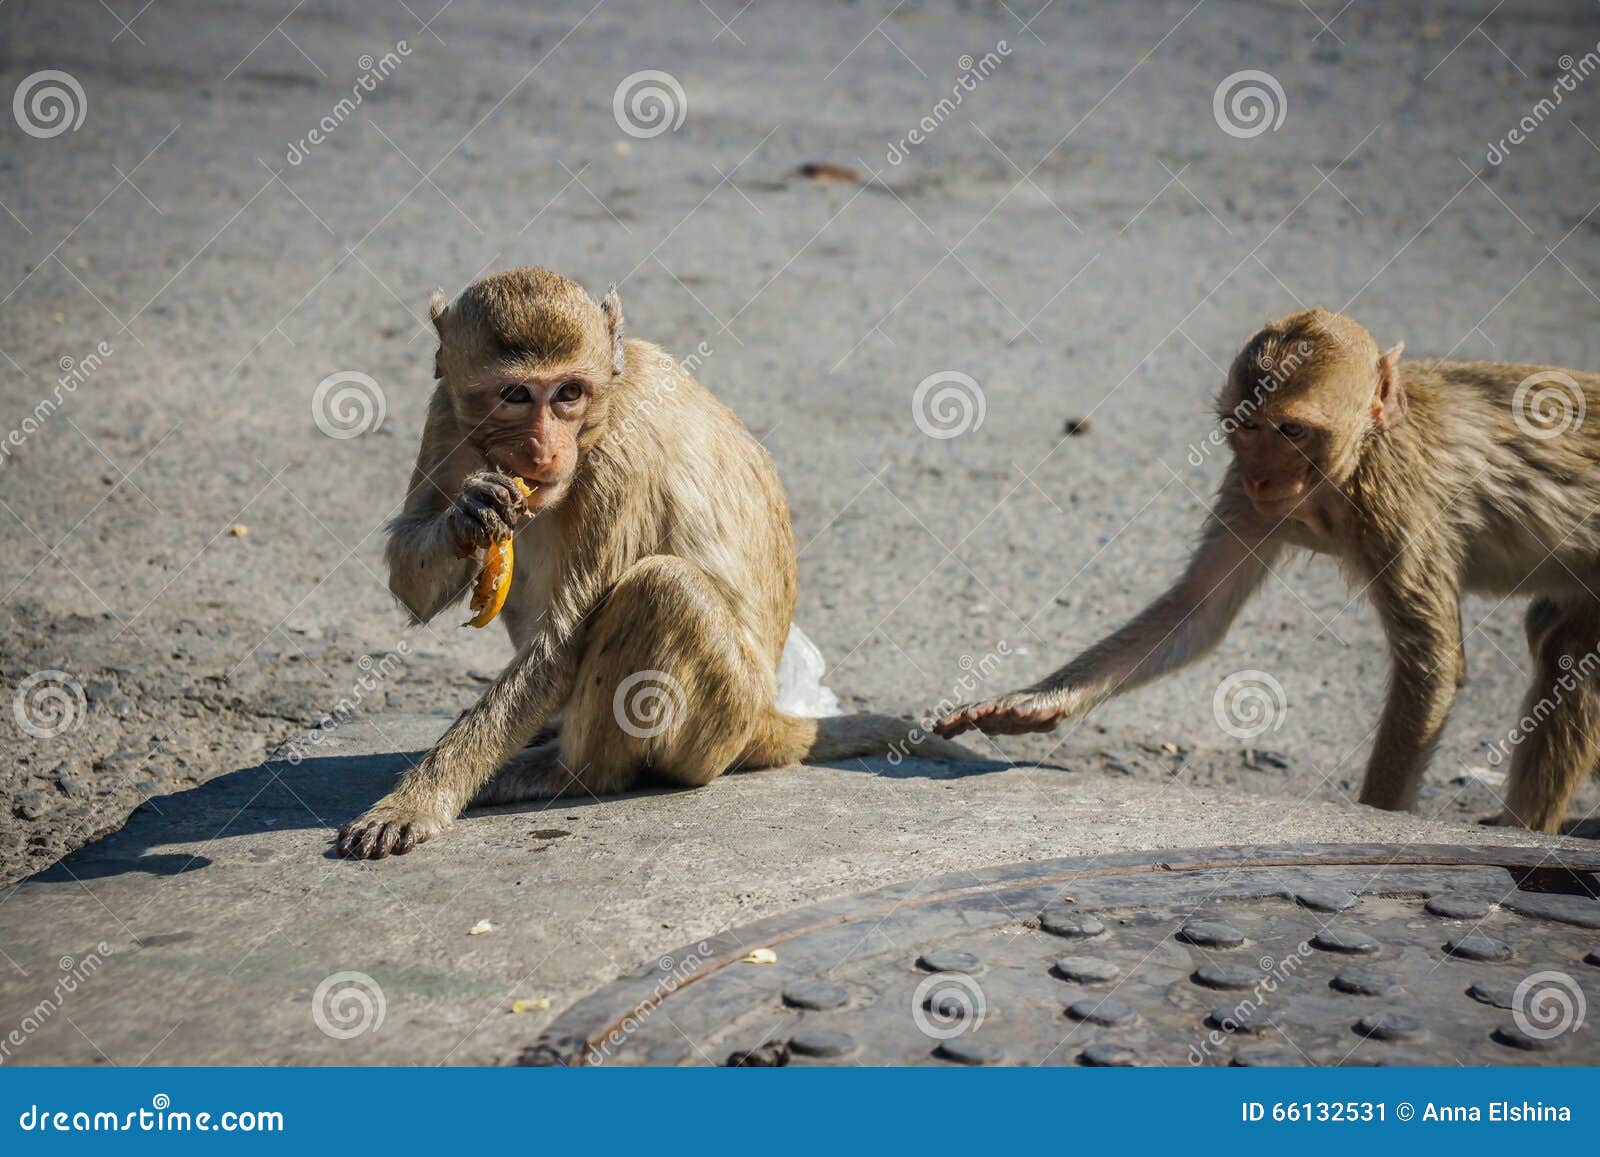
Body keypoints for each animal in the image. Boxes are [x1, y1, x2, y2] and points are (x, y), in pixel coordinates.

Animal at [339, 266, 971, 858]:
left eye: (568, 393)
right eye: (515, 394)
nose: (544, 450)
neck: (601, 409)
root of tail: (767, 715)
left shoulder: (620, 457)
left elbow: (561, 646)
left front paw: (416, 800)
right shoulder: (445, 411)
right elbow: (414, 579)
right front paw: (467, 513)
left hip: (720, 726)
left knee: (663, 588)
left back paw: (574, 771)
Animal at [936, 305, 1600, 834]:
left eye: (1293, 429)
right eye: (1250, 425)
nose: (1263, 477)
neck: (1345, 476)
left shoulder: (1398, 499)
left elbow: (1430, 663)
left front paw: (1378, 821)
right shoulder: (1242, 497)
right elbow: (1199, 611)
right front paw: (1031, 703)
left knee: (1571, 654)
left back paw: (1524, 829)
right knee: (1560, 642)